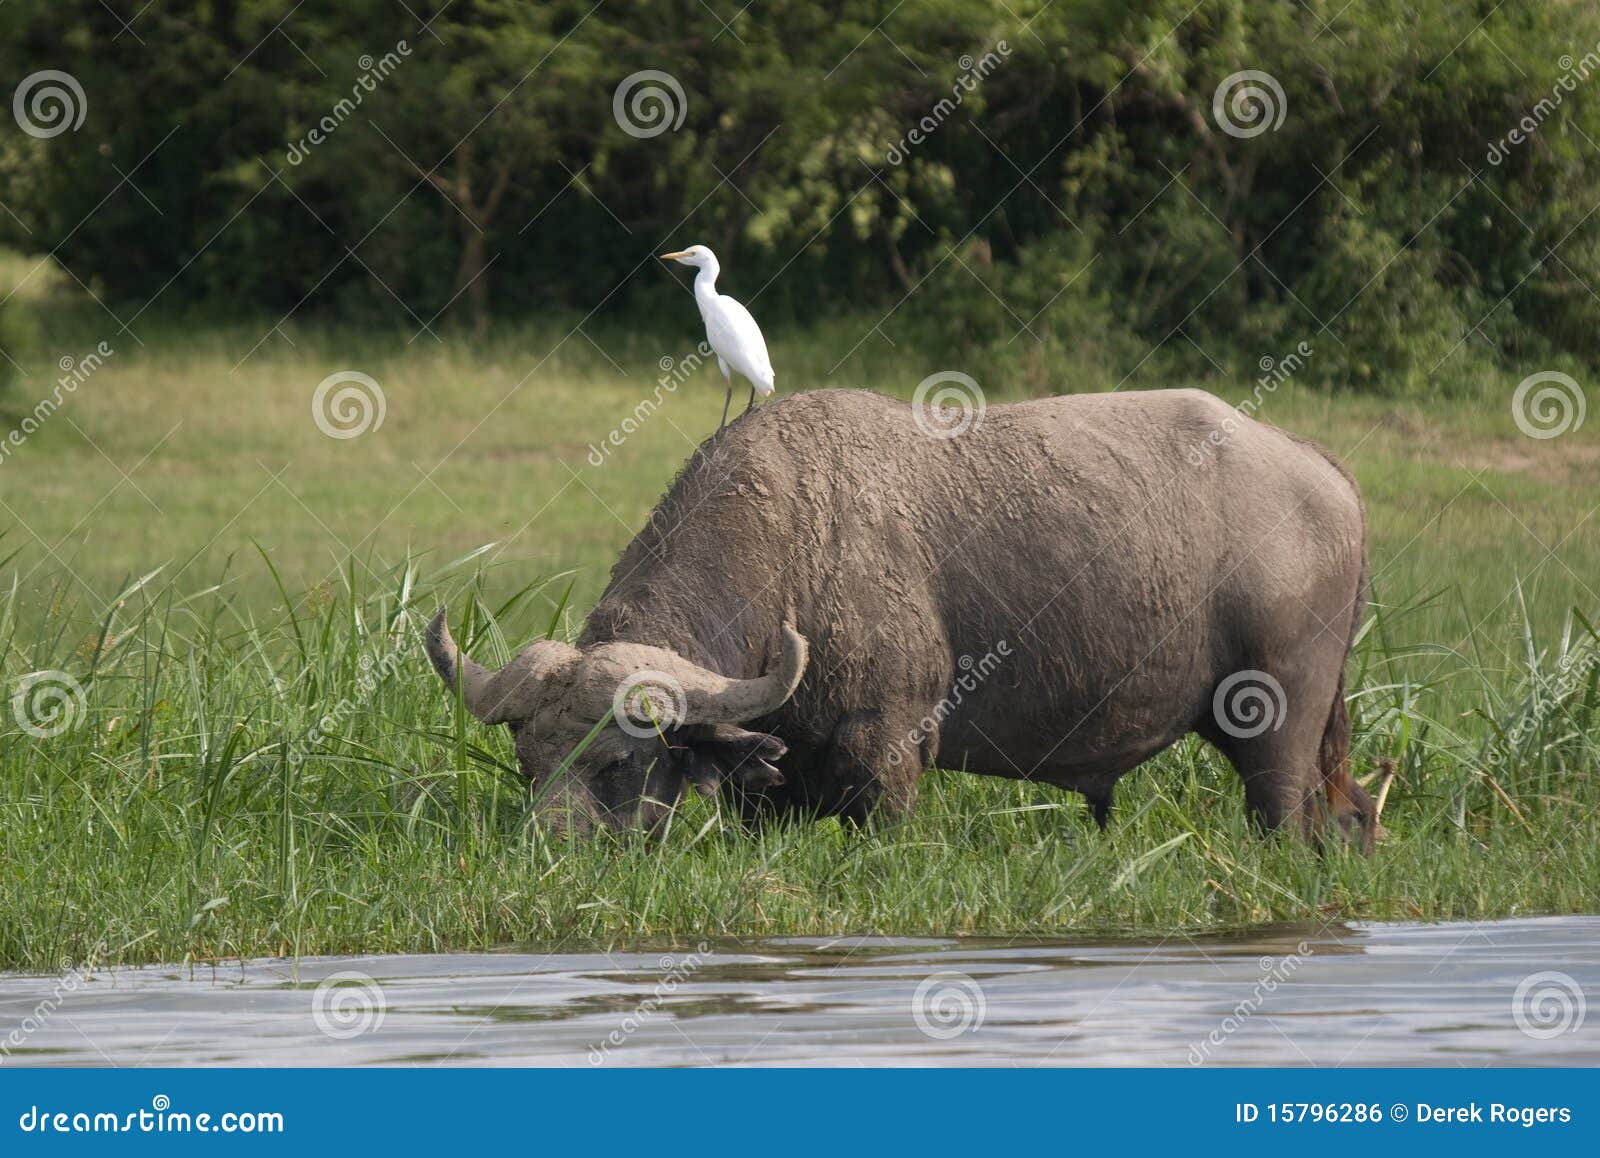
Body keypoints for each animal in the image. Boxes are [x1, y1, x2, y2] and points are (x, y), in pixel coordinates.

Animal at [427, 387, 1377, 849]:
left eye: (620, 763)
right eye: (529, 763)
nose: (551, 850)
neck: (793, 553)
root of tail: (1319, 469)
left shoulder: (889, 747)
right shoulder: (771, 784)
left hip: (1277, 717)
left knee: (1284, 813)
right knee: (1351, 811)